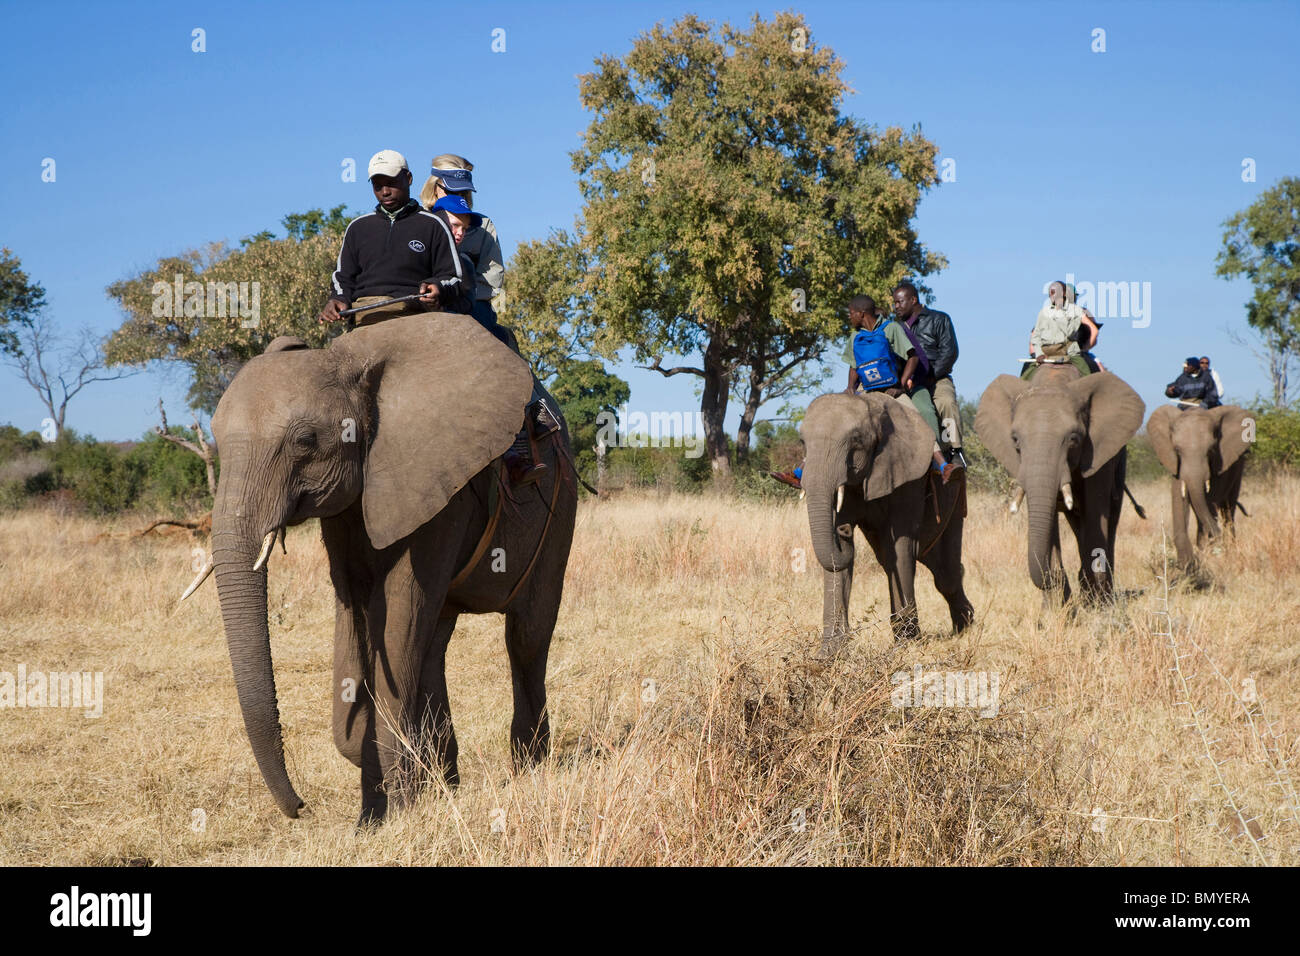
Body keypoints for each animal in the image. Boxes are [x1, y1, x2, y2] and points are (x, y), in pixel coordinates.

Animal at [193, 313, 577, 824]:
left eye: (305, 441)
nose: (301, 807)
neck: (351, 362)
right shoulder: (348, 505)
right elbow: (356, 605)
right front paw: (379, 809)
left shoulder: (438, 483)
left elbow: (397, 609)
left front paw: (401, 805)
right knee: (433, 644)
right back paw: (447, 783)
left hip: (561, 501)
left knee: (526, 635)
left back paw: (529, 771)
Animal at [801, 391, 974, 650]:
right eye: (802, 442)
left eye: (856, 440)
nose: (842, 530)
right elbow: (840, 560)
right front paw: (830, 653)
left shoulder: (908, 475)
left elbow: (901, 545)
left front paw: (908, 643)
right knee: (923, 560)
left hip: (956, 494)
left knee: (945, 569)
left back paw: (965, 628)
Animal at [975, 366, 1145, 604]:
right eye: (1015, 440)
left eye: (1073, 438)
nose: (1052, 578)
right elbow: (1050, 519)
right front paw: (1056, 608)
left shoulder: (1097, 452)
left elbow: (1096, 513)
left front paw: (1098, 606)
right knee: (1077, 523)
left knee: (1110, 519)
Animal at [1146, 404, 1251, 567]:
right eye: (1176, 450)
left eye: (1211, 450)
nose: (1218, 538)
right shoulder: (1176, 466)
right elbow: (1180, 500)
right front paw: (1187, 563)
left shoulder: (1218, 463)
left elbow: (1208, 503)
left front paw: (1207, 555)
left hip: (1238, 467)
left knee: (1228, 509)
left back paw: (1229, 546)